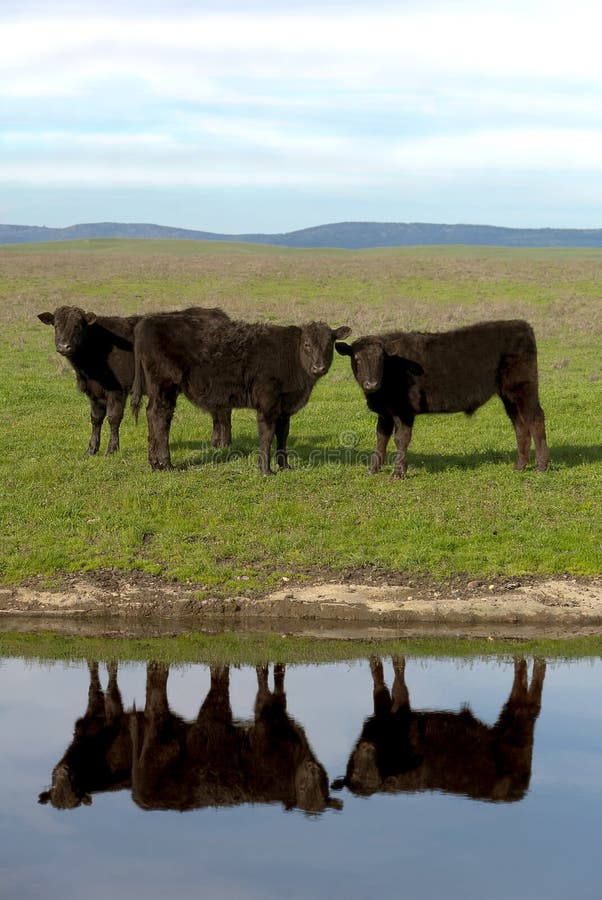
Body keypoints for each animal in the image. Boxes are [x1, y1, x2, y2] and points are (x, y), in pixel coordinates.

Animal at [38, 305, 232, 455]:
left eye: (78, 326)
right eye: (56, 325)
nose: (64, 346)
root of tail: (219, 314)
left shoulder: (117, 390)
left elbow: (113, 418)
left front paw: (111, 449)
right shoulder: (94, 392)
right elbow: (95, 419)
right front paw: (91, 450)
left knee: (222, 410)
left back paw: (223, 443)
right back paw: (216, 443)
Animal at [131, 314, 351, 474]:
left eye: (329, 344)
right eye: (306, 344)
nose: (318, 367)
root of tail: (149, 320)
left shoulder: (284, 407)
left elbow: (283, 435)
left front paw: (285, 466)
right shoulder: (268, 402)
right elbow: (267, 435)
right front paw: (265, 470)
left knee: (152, 414)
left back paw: (155, 463)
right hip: (165, 386)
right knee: (160, 418)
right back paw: (166, 464)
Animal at [332, 656, 545, 803]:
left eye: (374, 766)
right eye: (355, 771)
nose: (367, 746)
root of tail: (518, 791)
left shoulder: (402, 713)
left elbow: (399, 682)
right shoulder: (380, 715)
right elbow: (378, 681)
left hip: (516, 733)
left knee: (527, 705)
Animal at [335, 320, 549, 478]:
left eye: (381, 359)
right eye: (356, 359)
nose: (371, 384)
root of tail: (521, 325)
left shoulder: (404, 412)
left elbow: (401, 439)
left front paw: (398, 472)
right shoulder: (385, 413)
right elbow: (381, 438)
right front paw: (372, 469)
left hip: (524, 389)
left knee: (535, 419)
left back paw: (541, 466)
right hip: (509, 396)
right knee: (520, 424)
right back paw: (520, 466)